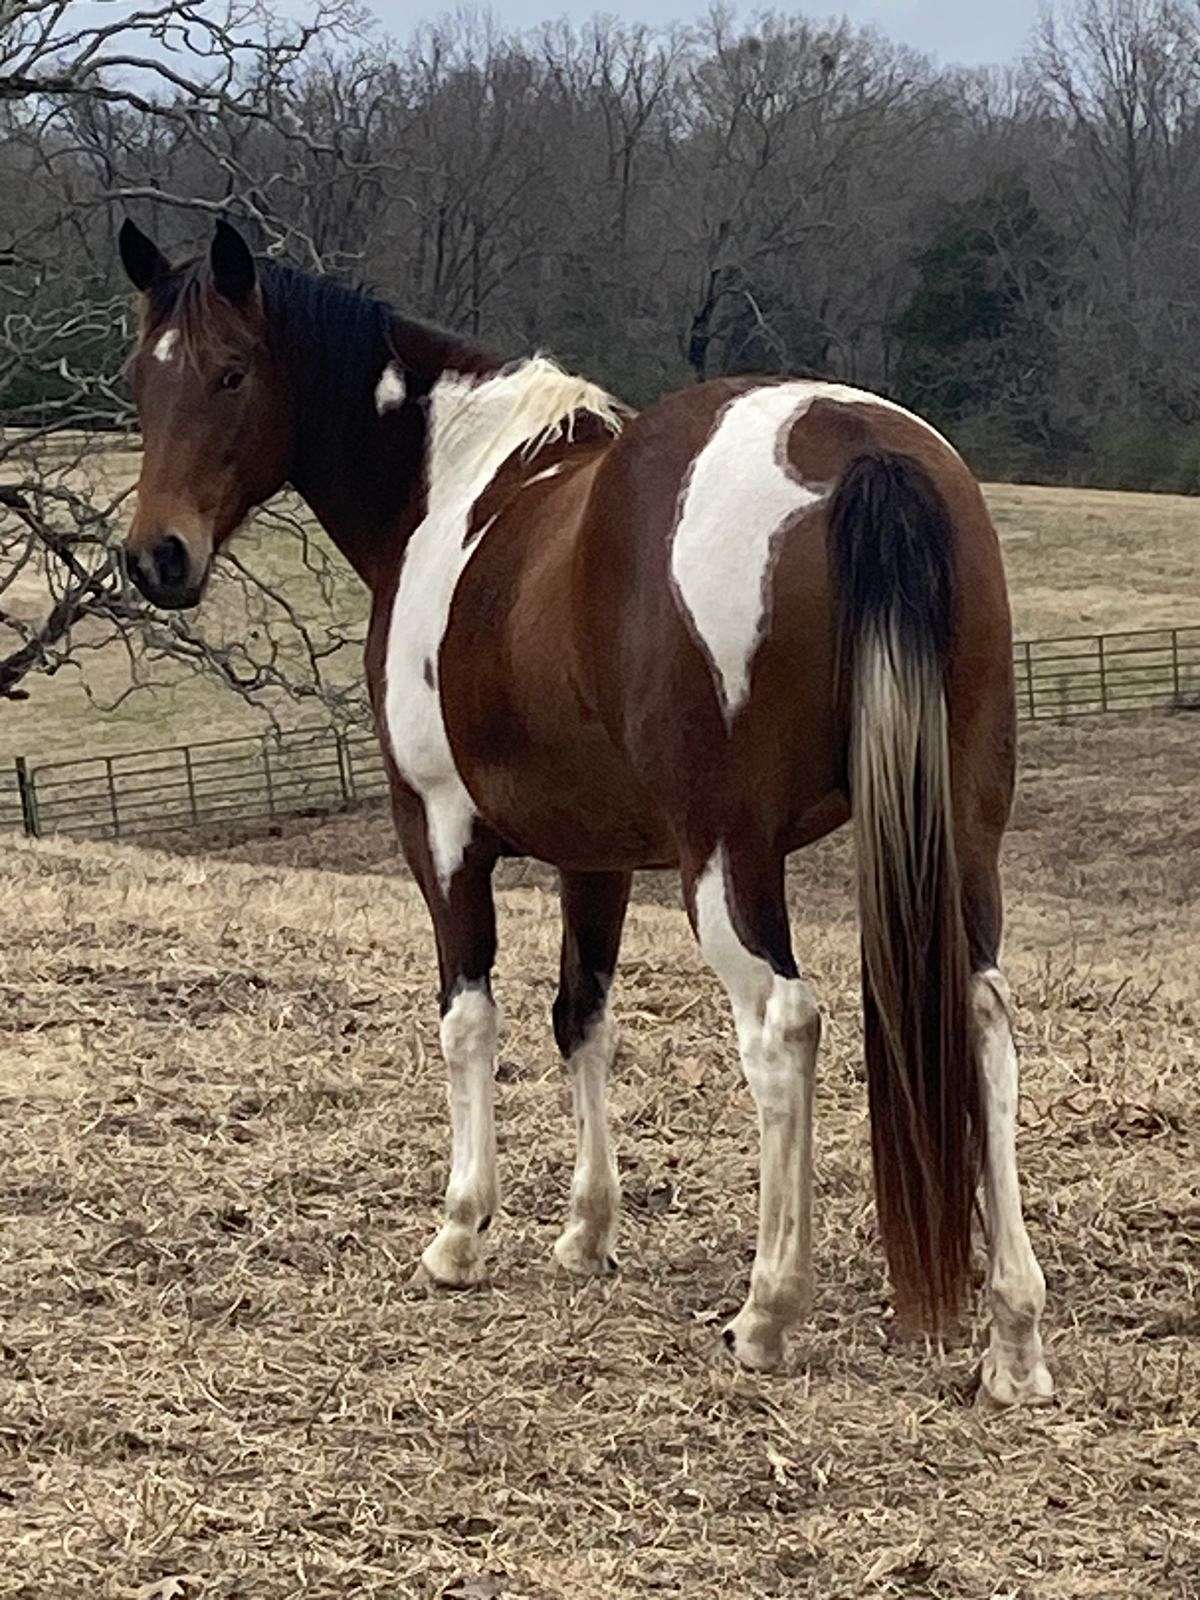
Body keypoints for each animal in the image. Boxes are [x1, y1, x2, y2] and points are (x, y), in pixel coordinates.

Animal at [116, 217, 1052, 1407]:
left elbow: (470, 1018)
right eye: (141, 378)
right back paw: (1015, 1336)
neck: (450, 487)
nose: (157, 557)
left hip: (729, 861)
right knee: (983, 1020)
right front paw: (587, 1231)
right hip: (963, 839)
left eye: (232, 372)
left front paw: (460, 1235)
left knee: (783, 1026)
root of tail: (855, 449)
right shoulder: (595, 856)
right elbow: (582, 1017)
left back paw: (767, 1311)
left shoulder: (440, 831)